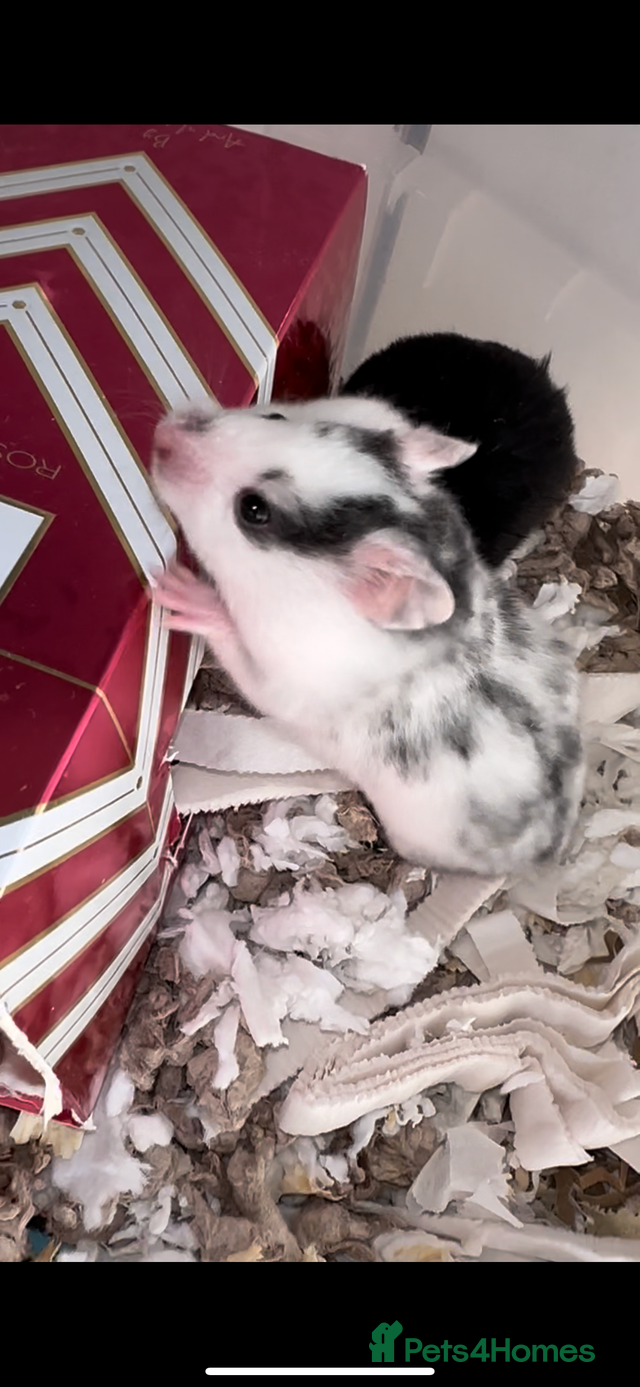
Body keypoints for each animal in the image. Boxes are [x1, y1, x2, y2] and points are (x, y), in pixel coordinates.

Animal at [150, 397, 583, 877]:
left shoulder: (282, 682)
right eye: (275, 416)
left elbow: (233, 643)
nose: (163, 431)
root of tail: (556, 847)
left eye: (254, 510)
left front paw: (175, 588)